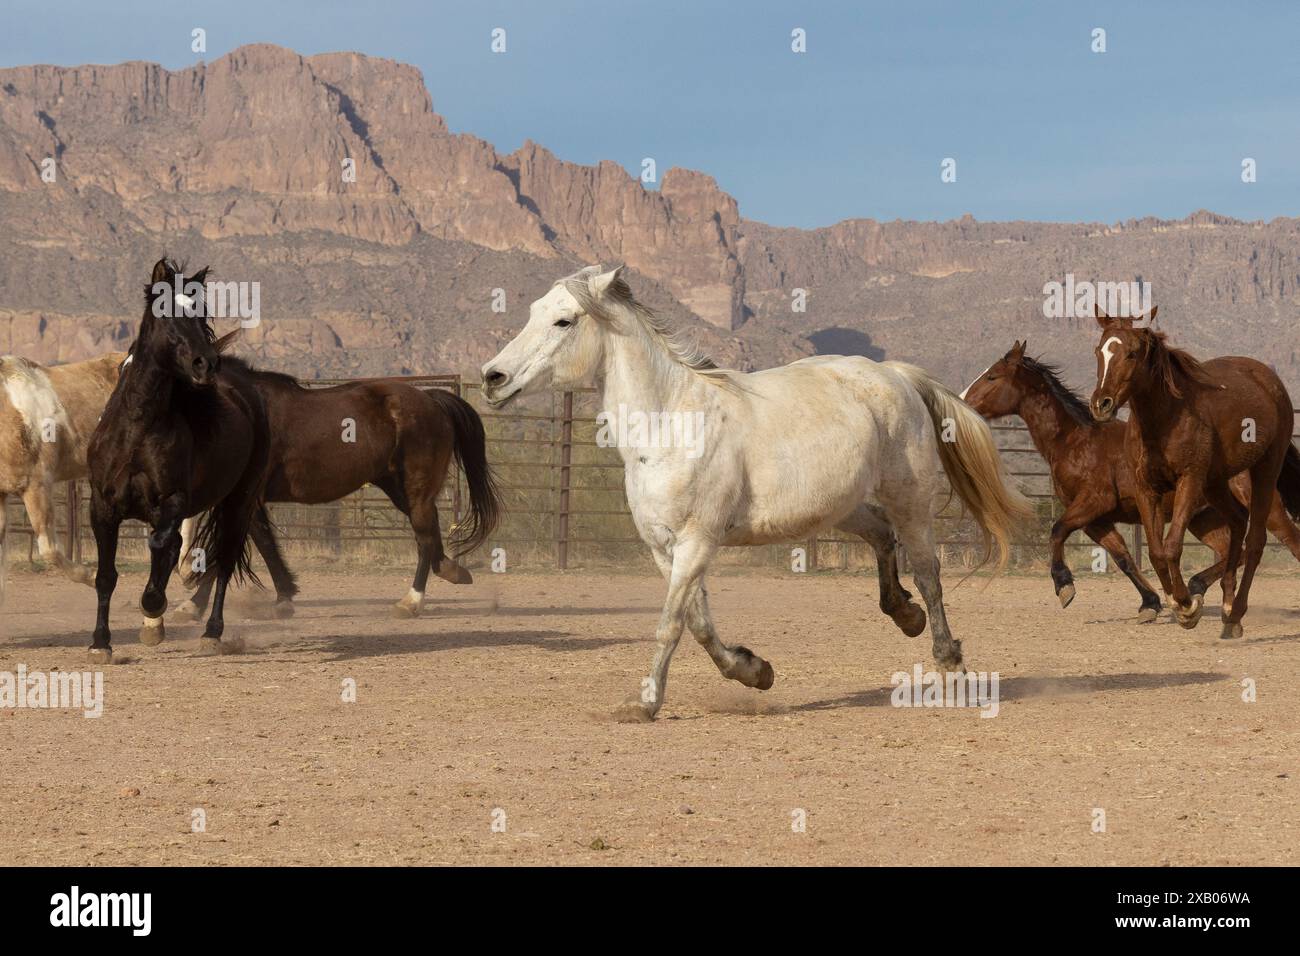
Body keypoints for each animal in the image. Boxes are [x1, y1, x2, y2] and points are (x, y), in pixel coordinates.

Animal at [85, 258, 272, 662]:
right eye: (167, 313)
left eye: (200, 312)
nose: (206, 364)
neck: (137, 429)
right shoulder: (103, 507)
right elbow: (106, 576)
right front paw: (100, 643)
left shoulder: (171, 501)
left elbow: (164, 548)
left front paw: (153, 606)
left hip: (239, 501)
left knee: (224, 560)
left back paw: (211, 633)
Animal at [171, 367, 501, 621]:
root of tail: (431, 399)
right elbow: (264, 542)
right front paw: (284, 596)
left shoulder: (246, 498)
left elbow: (239, 545)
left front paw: (192, 605)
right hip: (399, 488)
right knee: (431, 531)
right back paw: (451, 570)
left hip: (415, 489)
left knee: (425, 539)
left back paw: (411, 602)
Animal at [481, 265, 1032, 721]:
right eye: (532, 312)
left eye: (564, 321)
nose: (492, 378)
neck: (670, 422)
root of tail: (895, 373)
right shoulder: (665, 548)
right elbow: (698, 624)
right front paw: (754, 671)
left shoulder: (697, 542)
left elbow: (671, 624)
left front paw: (646, 704)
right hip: (841, 508)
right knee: (882, 539)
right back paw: (905, 614)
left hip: (909, 500)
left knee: (929, 573)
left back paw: (949, 660)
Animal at [963, 340, 1300, 621]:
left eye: (992, 376)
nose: (963, 401)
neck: (1075, 443)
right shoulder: (1096, 520)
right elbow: (1122, 557)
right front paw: (1151, 603)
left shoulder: (1093, 503)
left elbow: (1057, 531)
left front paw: (1064, 586)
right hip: (1203, 518)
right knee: (1233, 550)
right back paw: (1196, 588)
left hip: (1264, 509)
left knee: (1286, 540)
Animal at [1089, 306, 1300, 639]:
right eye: (1100, 350)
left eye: (1132, 353)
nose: (1101, 404)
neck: (1164, 420)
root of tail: (1268, 379)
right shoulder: (1145, 488)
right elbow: (1156, 551)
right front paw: (1178, 604)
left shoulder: (1189, 481)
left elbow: (1172, 546)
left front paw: (1188, 606)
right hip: (1216, 483)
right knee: (1237, 523)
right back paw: (1228, 611)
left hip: (1264, 470)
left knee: (1256, 540)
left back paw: (1235, 613)